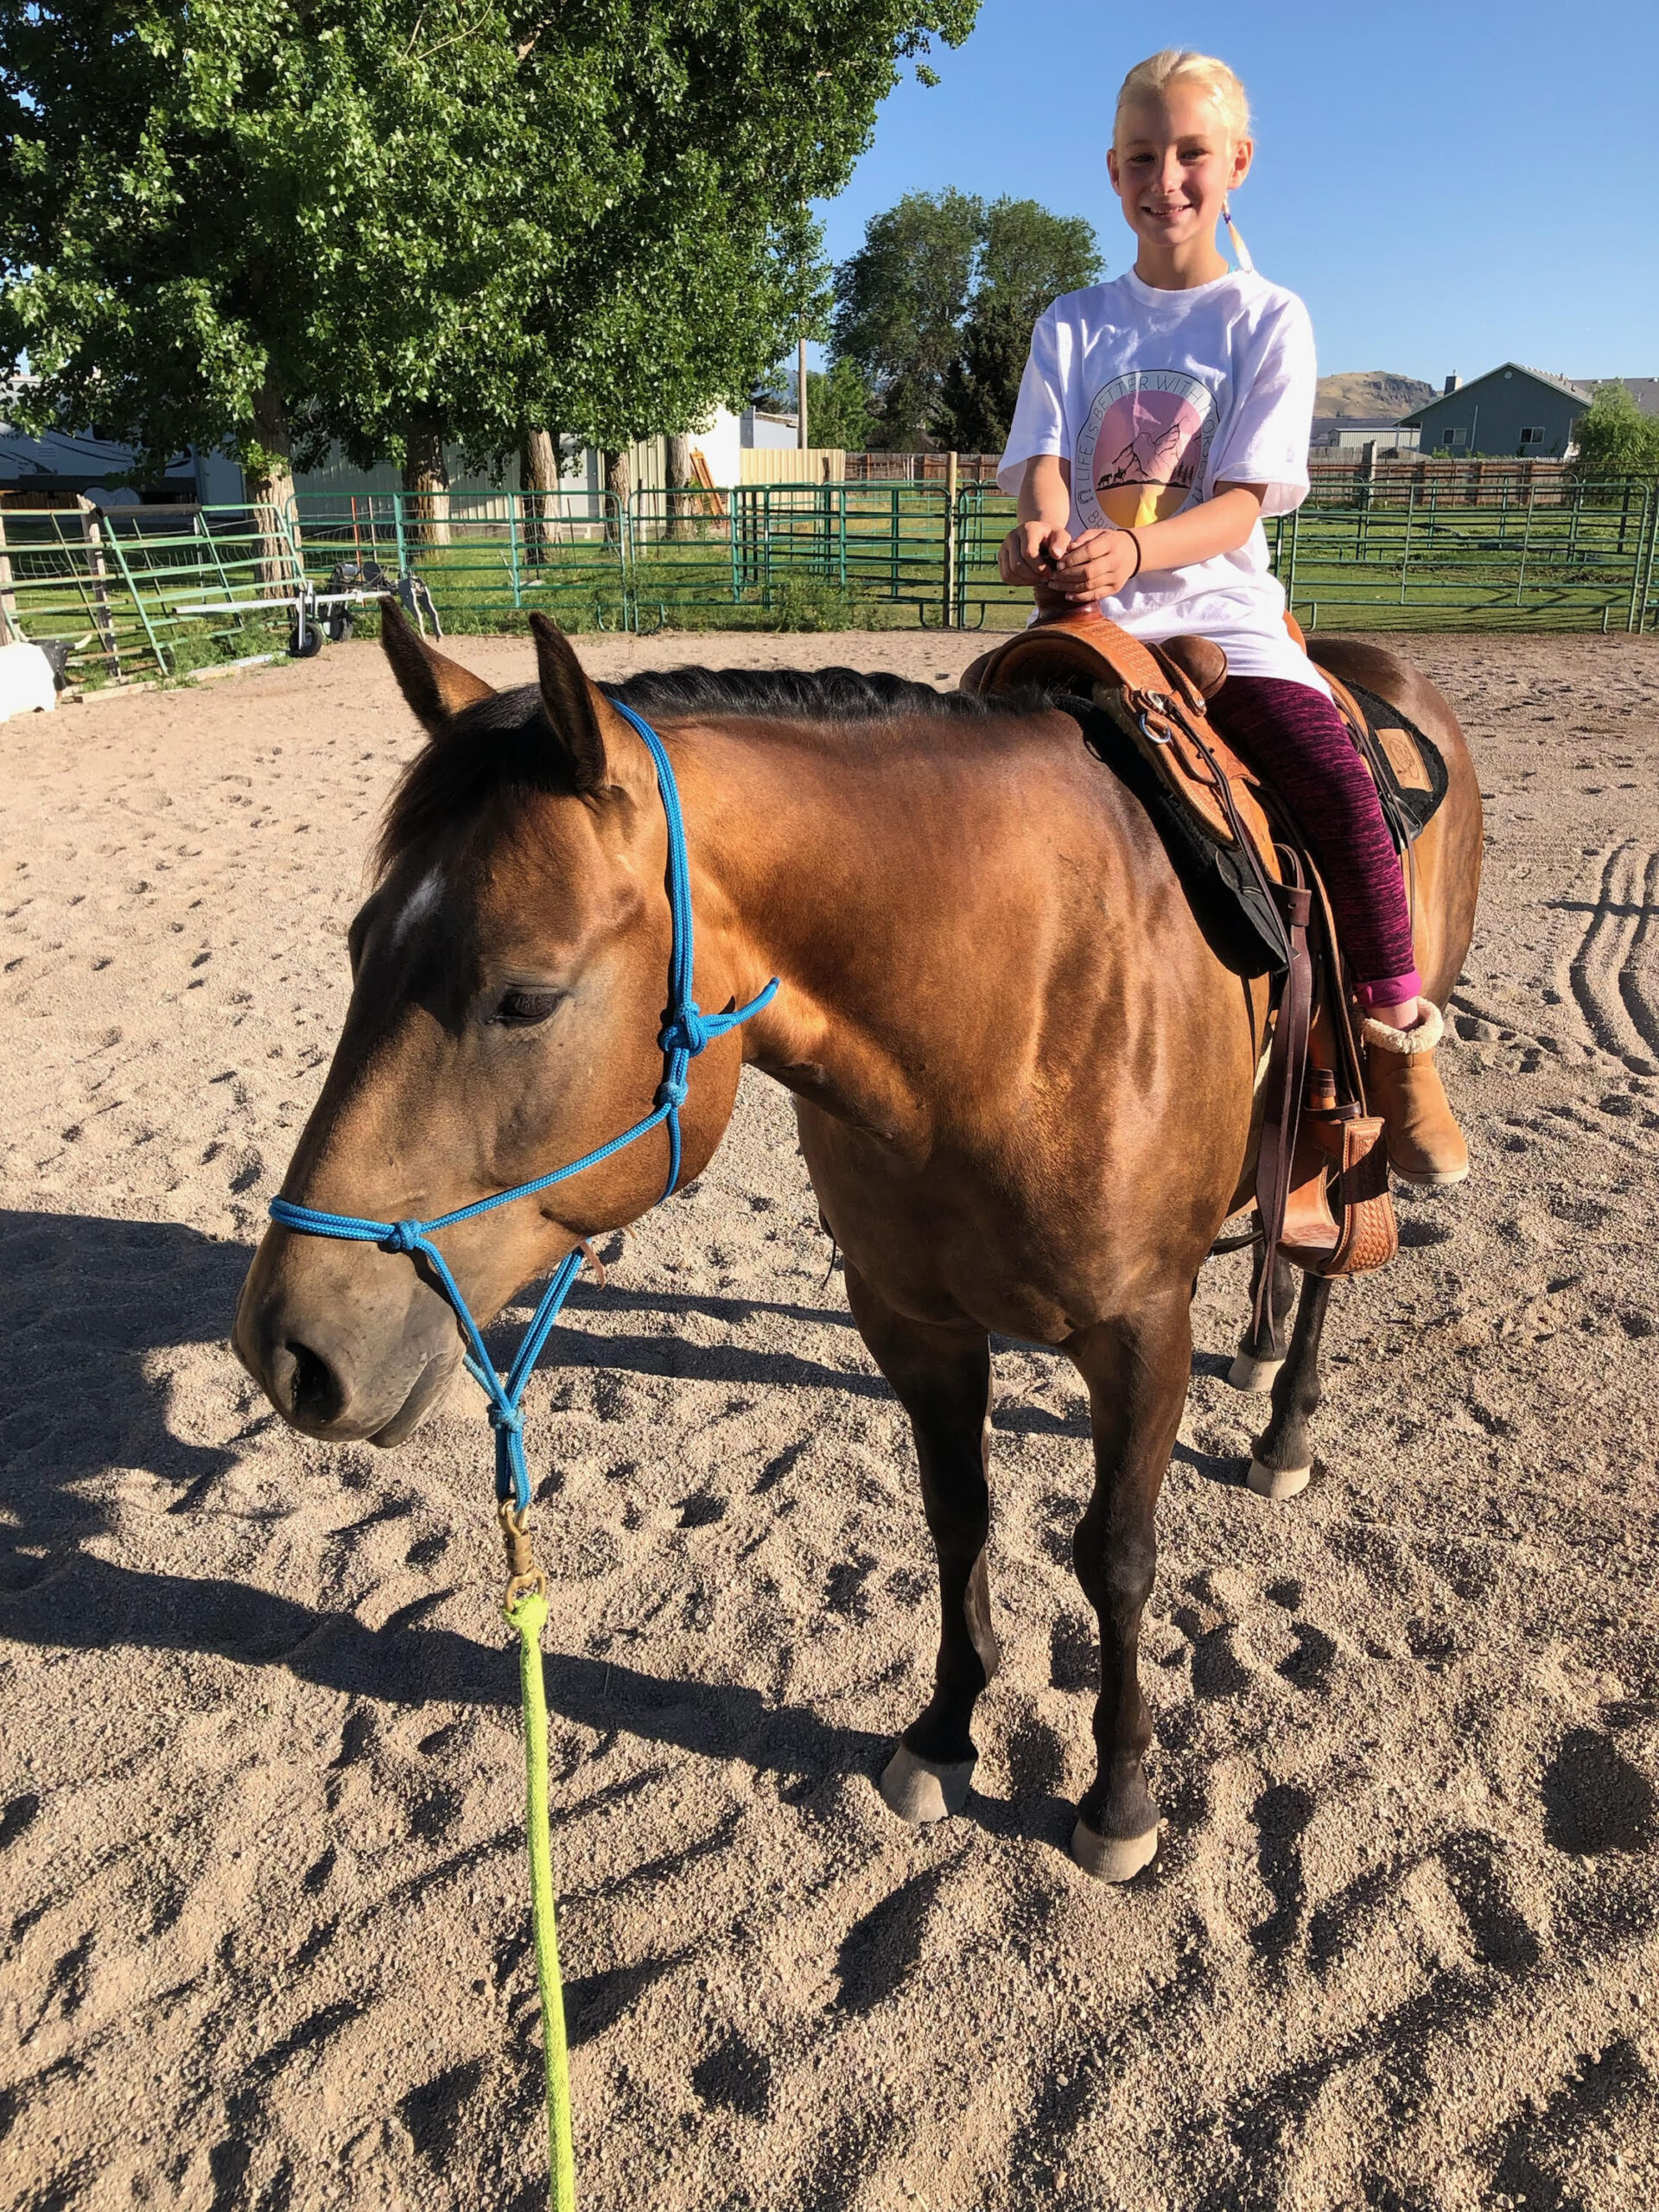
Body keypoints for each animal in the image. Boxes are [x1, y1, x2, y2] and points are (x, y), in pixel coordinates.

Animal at [233, 605, 1481, 1880]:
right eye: (358, 948)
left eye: (524, 998)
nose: (289, 1349)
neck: (1017, 1004)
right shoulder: (913, 1321)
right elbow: (958, 1517)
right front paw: (943, 1735)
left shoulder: (1140, 1332)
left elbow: (1118, 1557)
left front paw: (1120, 1795)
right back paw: (1263, 1352)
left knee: (1334, 1245)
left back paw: (1288, 1421)